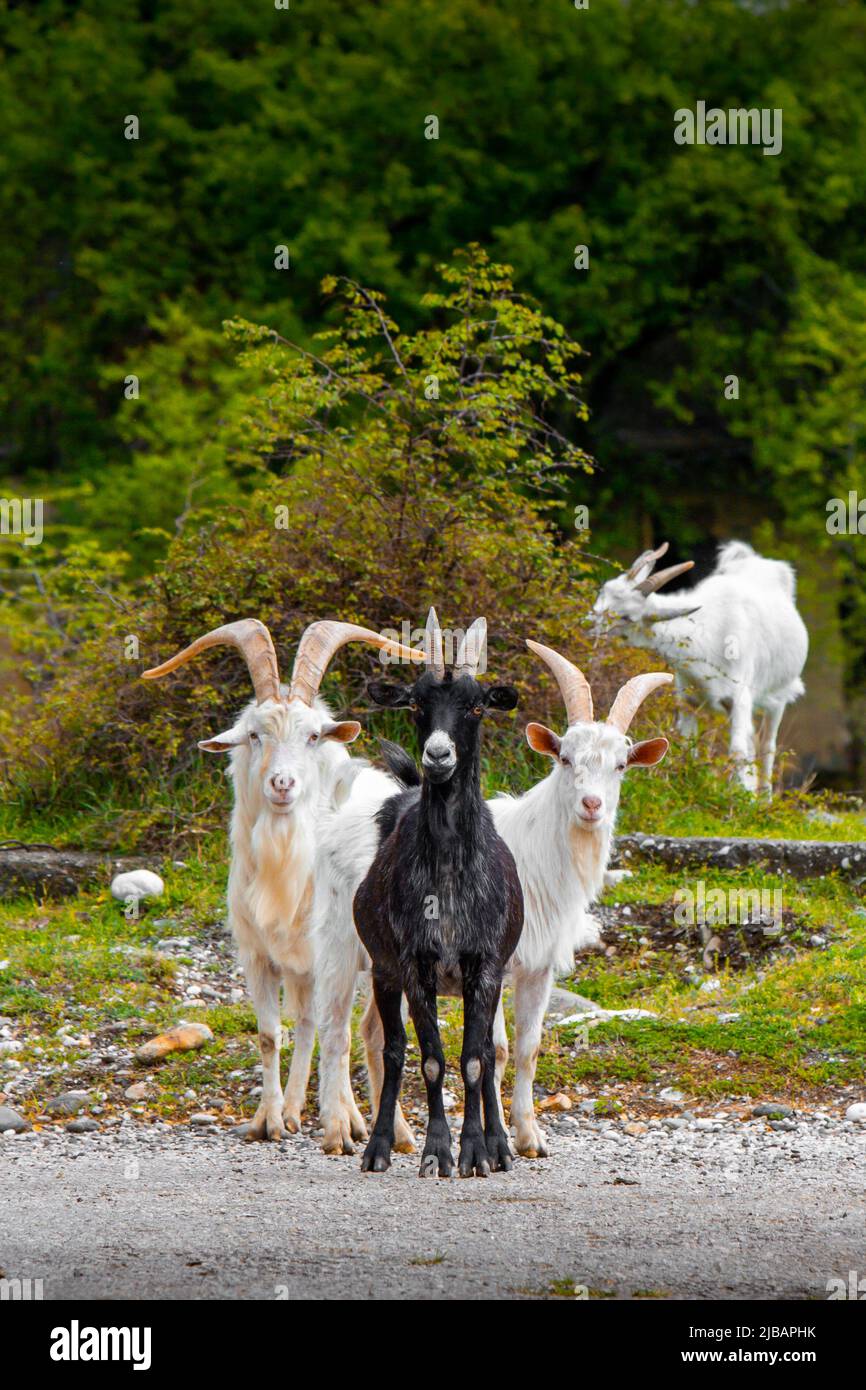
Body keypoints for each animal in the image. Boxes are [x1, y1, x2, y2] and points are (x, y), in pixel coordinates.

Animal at [142, 617, 424, 1141]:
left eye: (313, 736)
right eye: (254, 735)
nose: (283, 784)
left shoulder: (336, 954)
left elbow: (339, 1030)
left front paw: (345, 1120)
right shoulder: (258, 955)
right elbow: (272, 1034)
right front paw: (269, 1118)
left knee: (366, 1031)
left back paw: (387, 1126)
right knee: (319, 1023)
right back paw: (300, 1109)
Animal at [352, 610, 524, 1178]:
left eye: (476, 705)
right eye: (416, 703)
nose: (438, 755)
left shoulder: (484, 964)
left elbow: (474, 1060)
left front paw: (476, 1151)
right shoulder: (414, 964)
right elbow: (430, 1059)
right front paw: (437, 1151)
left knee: (488, 1053)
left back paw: (500, 1144)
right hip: (382, 973)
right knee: (393, 1050)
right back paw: (378, 1147)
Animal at [590, 540, 808, 793]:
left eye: (627, 617)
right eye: (603, 591)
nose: (588, 628)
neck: (711, 634)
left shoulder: (740, 697)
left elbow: (737, 752)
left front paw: (739, 798)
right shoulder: (688, 699)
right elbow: (686, 745)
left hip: (779, 696)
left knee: (766, 746)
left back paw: (763, 797)